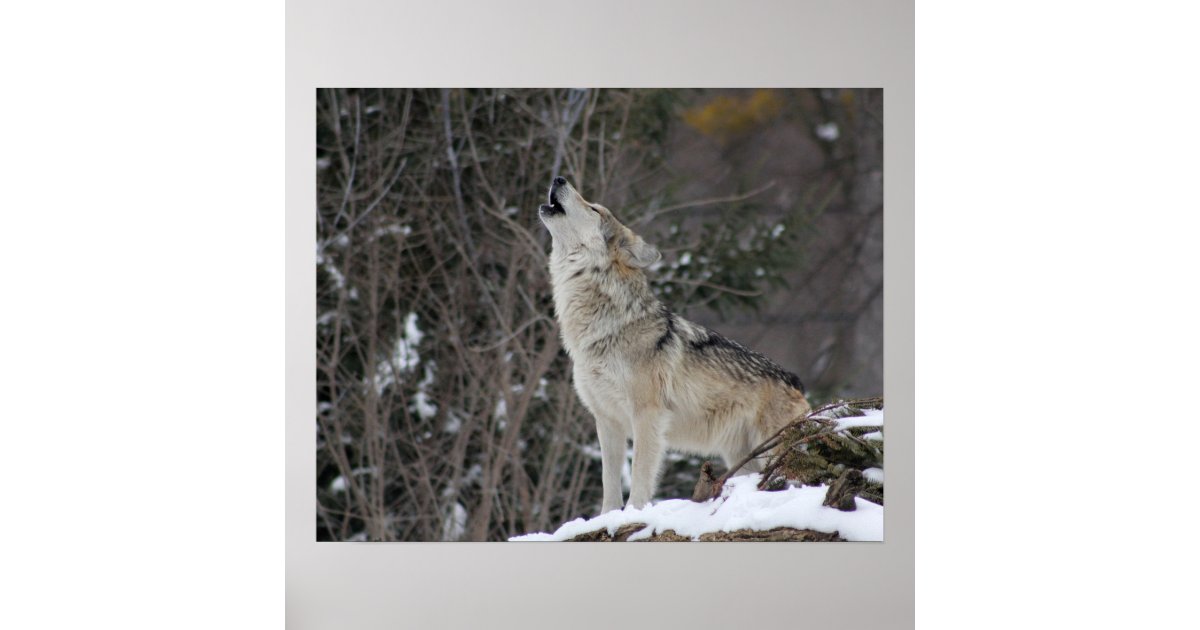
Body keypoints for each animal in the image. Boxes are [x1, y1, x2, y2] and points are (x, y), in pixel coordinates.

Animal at [539, 176, 812, 513]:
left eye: (594, 209)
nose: (559, 178)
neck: (604, 328)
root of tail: (796, 381)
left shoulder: (647, 415)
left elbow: (640, 475)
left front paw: (634, 514)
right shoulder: (607, 420)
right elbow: (609, 483)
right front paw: (607, 517)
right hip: (742, 458)